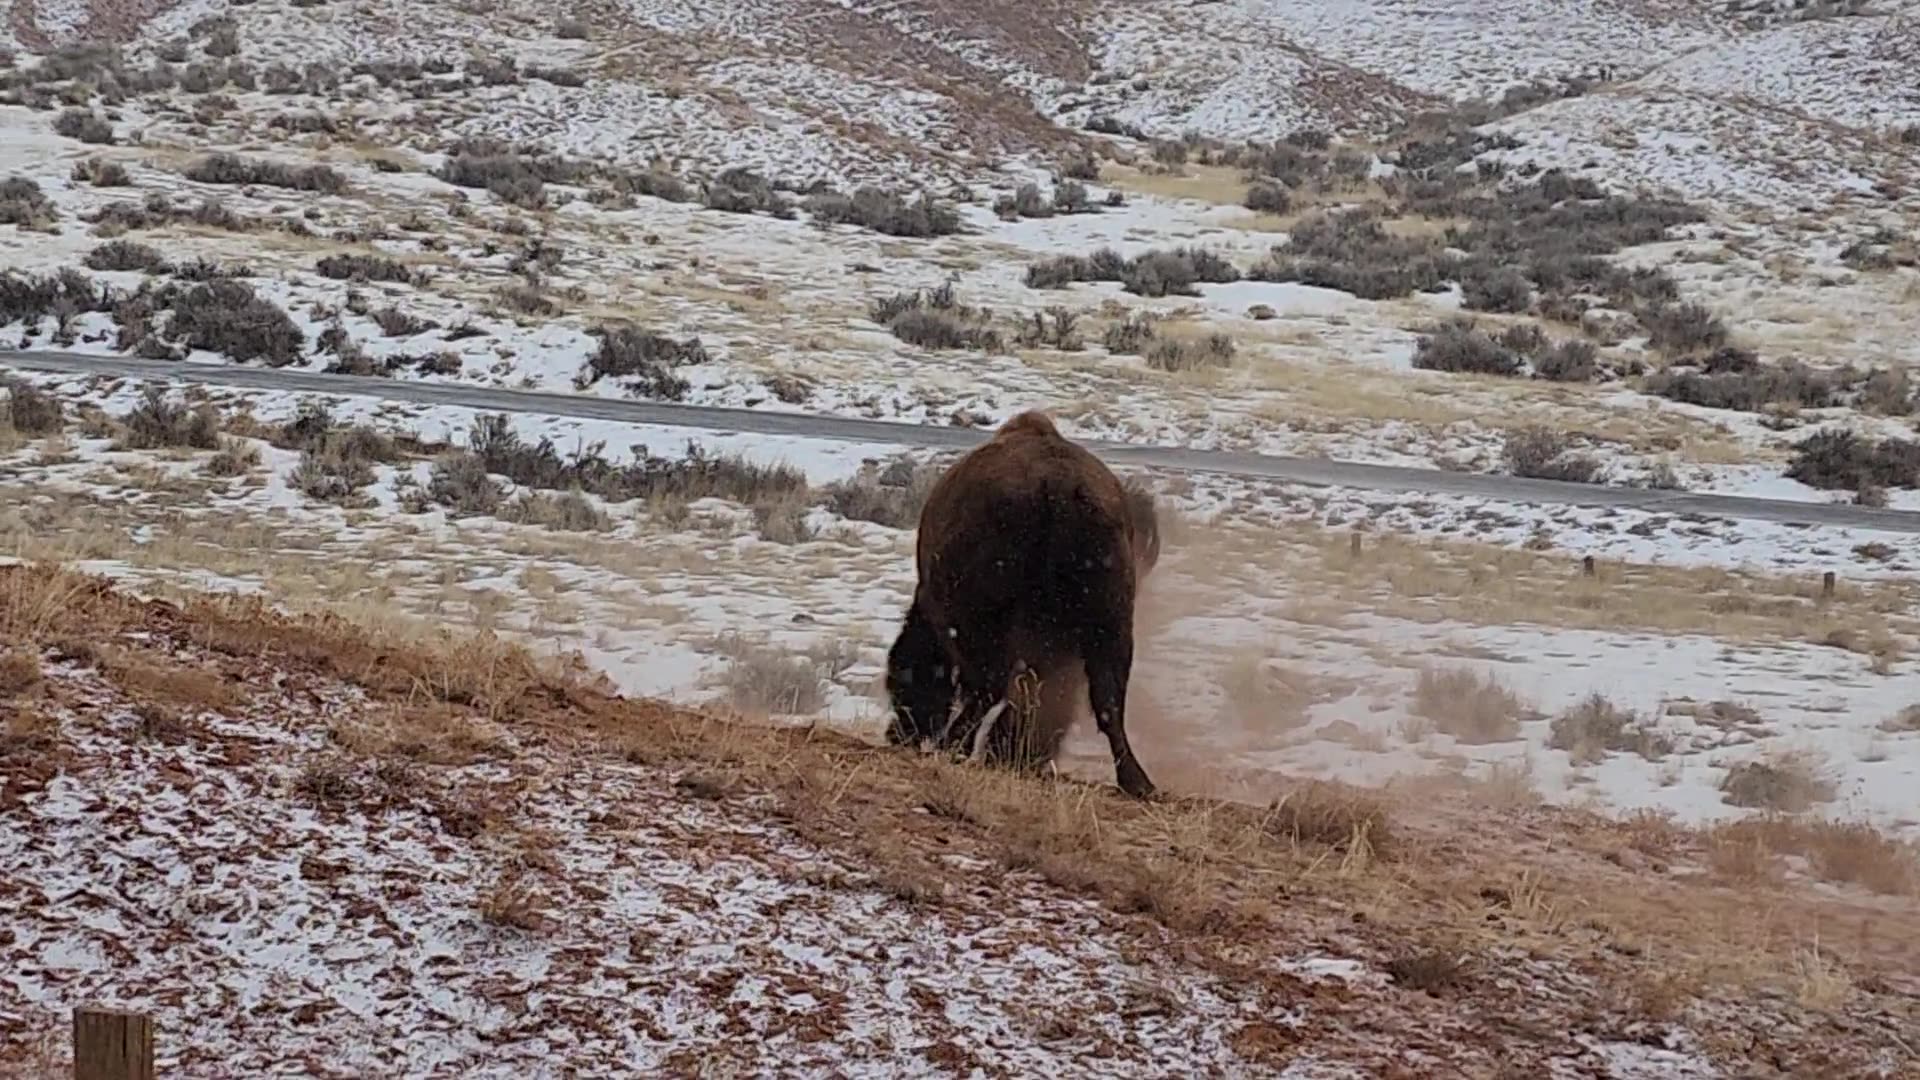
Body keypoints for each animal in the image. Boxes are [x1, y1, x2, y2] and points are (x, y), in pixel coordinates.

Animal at [884, 410, 1162, 798]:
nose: (899, 733)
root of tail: (1059, 491)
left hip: (987, 623)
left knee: (991, 685)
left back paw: (958, 746)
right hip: (1112, 624)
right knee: (1107, 705)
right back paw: (1136, 782)